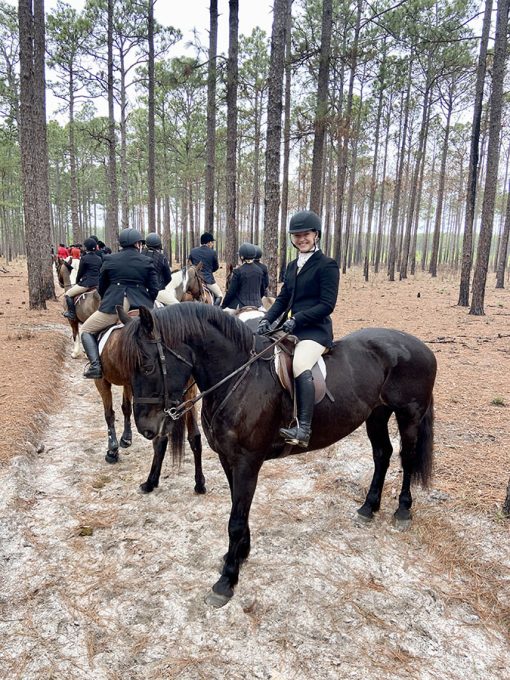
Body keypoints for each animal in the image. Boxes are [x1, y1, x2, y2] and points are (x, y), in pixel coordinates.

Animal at [118, 303, 437, 607]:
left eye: (147, 366)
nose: (146, 428)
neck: (238, 377)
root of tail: (421, 347)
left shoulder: (247, 462)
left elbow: (235, 520)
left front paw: (226, 581)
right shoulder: (227, 458)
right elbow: (237, 508)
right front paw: (239, 554)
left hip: (408, 416)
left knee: (406, 459)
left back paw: (403, 511)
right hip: (376, 414)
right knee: (382, 454)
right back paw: (368, 508)